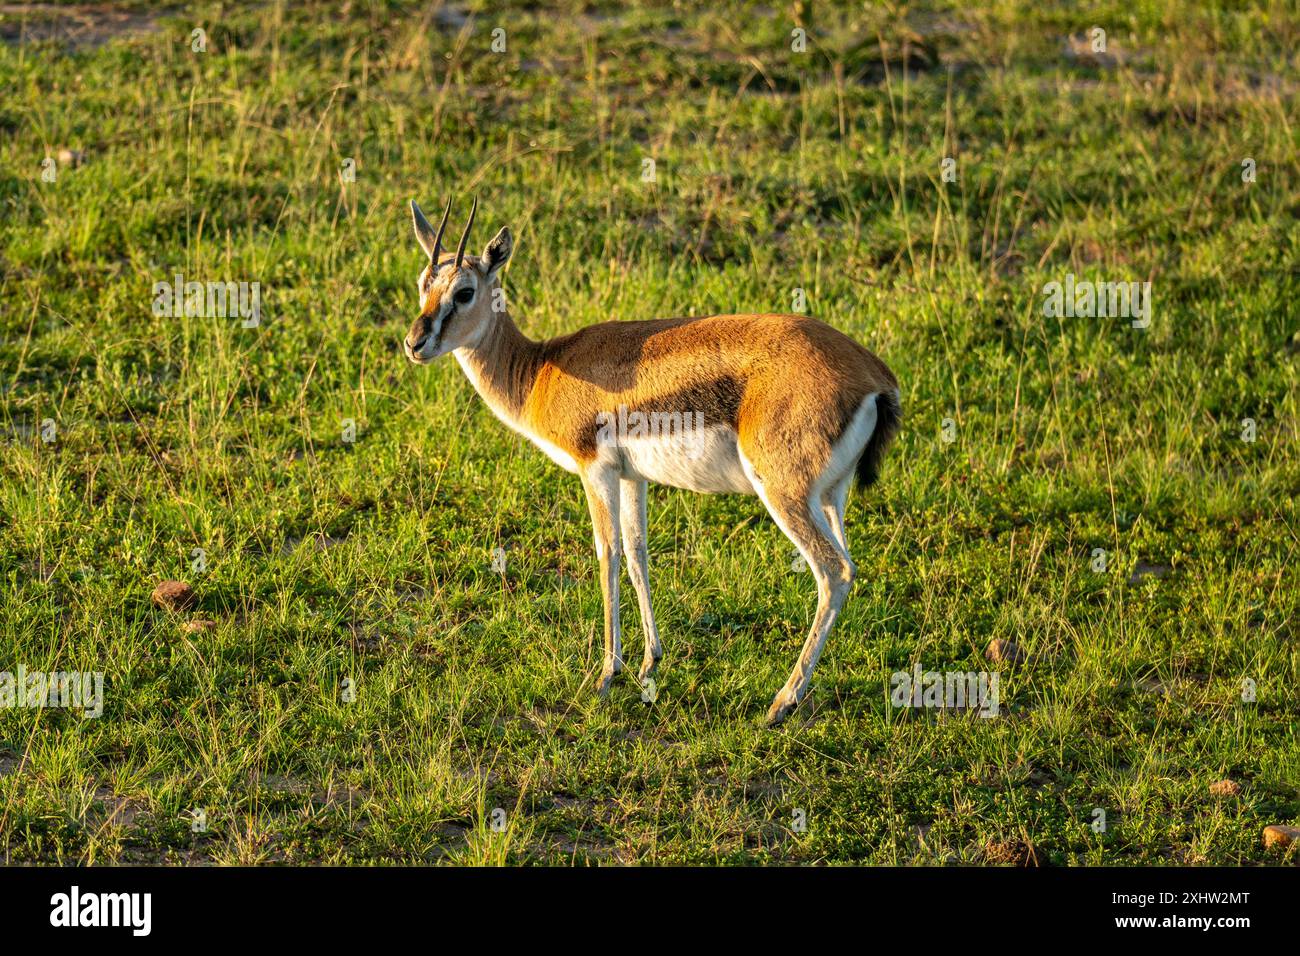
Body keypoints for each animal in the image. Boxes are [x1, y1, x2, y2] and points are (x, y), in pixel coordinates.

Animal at [403, 197, 900, 725]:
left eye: (464, 292)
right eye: (422, 285)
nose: (414, 343)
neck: (540, 371)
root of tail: (874, 375)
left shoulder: (595, 470)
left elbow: (608, 555)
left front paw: (605, 676)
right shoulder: (631, 477)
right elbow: (639, 553)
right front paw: (649, 663)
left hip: (783, 492)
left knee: (833, 571)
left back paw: (781, 703)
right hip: (830, 496)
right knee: (848, 567)